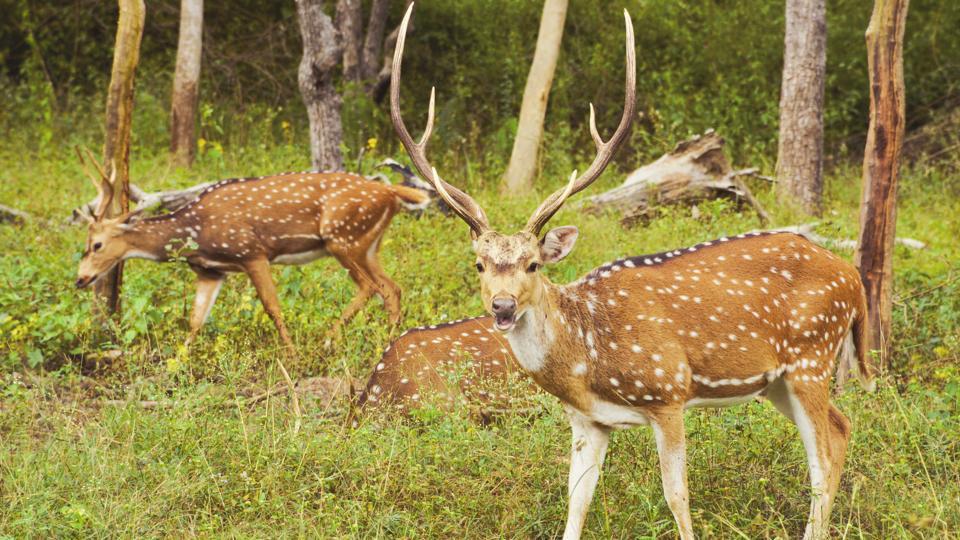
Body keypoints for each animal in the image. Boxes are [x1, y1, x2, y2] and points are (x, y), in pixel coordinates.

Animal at [390, 5, 875, 539]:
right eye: (480, 262)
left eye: (533, 264)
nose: (502, 304)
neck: (586, 361)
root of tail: (854, 280)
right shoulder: (587, 421)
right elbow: (576, 501)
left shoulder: (668, 392)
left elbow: (677, 496)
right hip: (778, 381)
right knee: (843, 428)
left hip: (812, 354)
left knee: (823, 455)